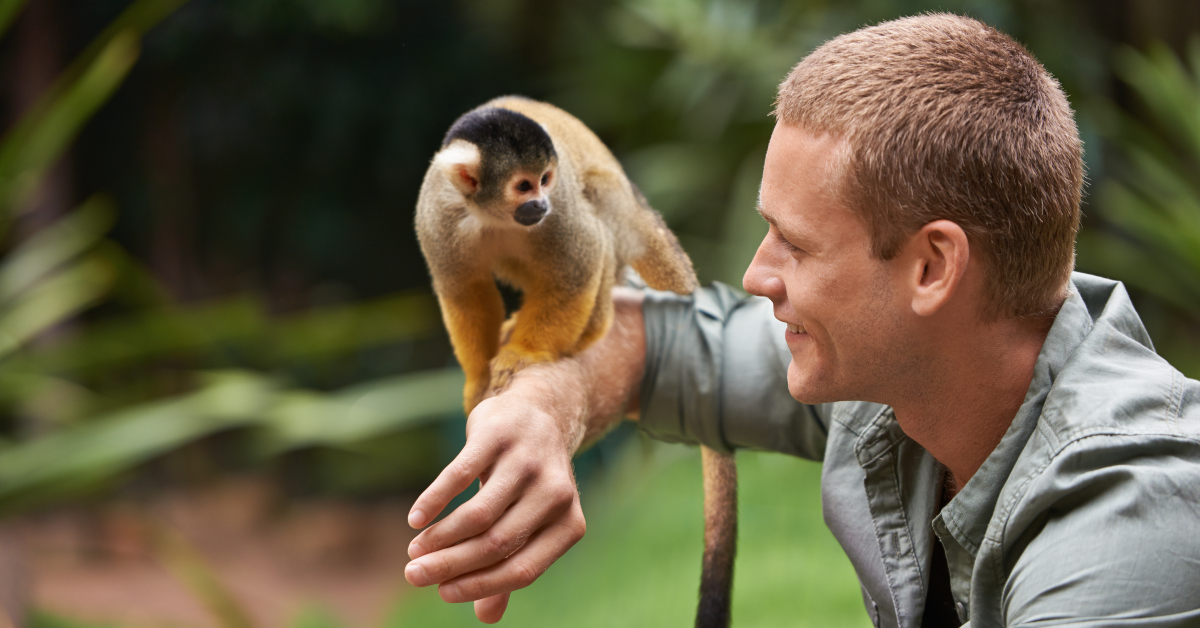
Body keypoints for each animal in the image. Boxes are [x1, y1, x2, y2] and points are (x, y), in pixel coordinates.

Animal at [414, 95, 737, 628]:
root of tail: (638, 204)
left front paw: (524, 355)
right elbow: (464, 292)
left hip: (619, 217)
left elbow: (576, 267)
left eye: (545, 180)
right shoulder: (439, 216)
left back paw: (591, 326)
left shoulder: (562, 215)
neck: (491, 216)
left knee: (597, 215)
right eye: (523, 185)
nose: (541, 204)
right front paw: (478, 374)